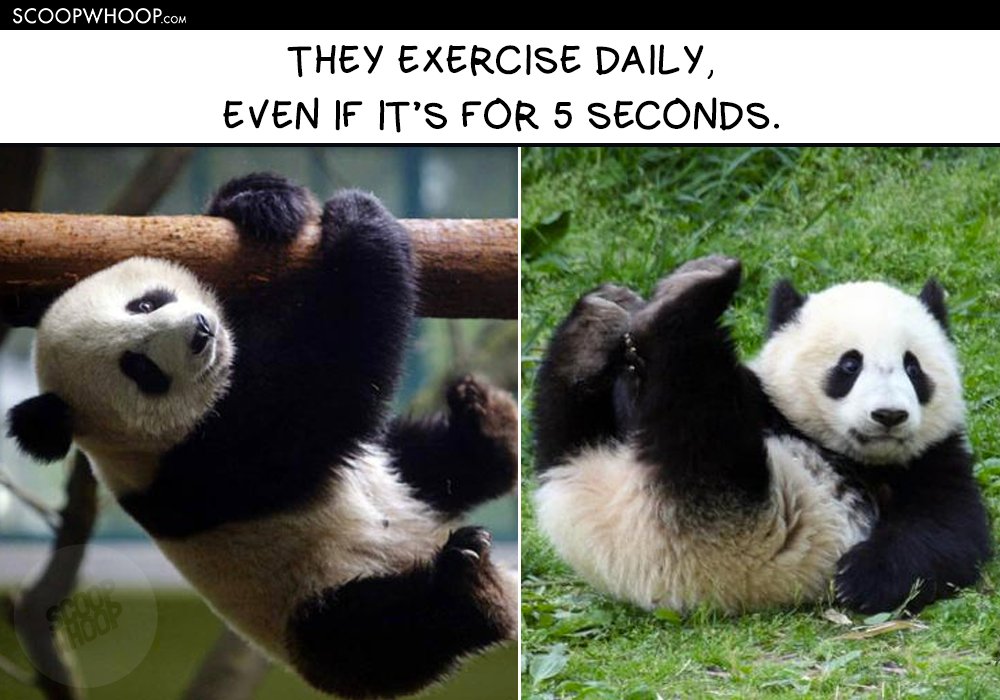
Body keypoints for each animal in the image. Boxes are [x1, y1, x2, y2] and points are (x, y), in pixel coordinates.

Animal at [6, 174, 518, 699]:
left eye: (145, 303)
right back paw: (473, 588)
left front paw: (262, 203)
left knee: (423, 463)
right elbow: (327, 382)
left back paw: (489, 427)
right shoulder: (212, 463)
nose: (201, 332)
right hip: (317, 608)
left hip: (393, 481)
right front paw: (361, 223)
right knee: (390, 628)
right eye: (140, 369)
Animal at [532, 255, 991, 615]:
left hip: (727, 502)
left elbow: (948, 532)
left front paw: (860, 580)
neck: (848, 455)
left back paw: (670, 306)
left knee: (693, 415)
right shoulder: (767, 402)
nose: (889, 415)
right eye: (849, 365)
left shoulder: (935, 458)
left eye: (913, 367)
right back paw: (610, 320)